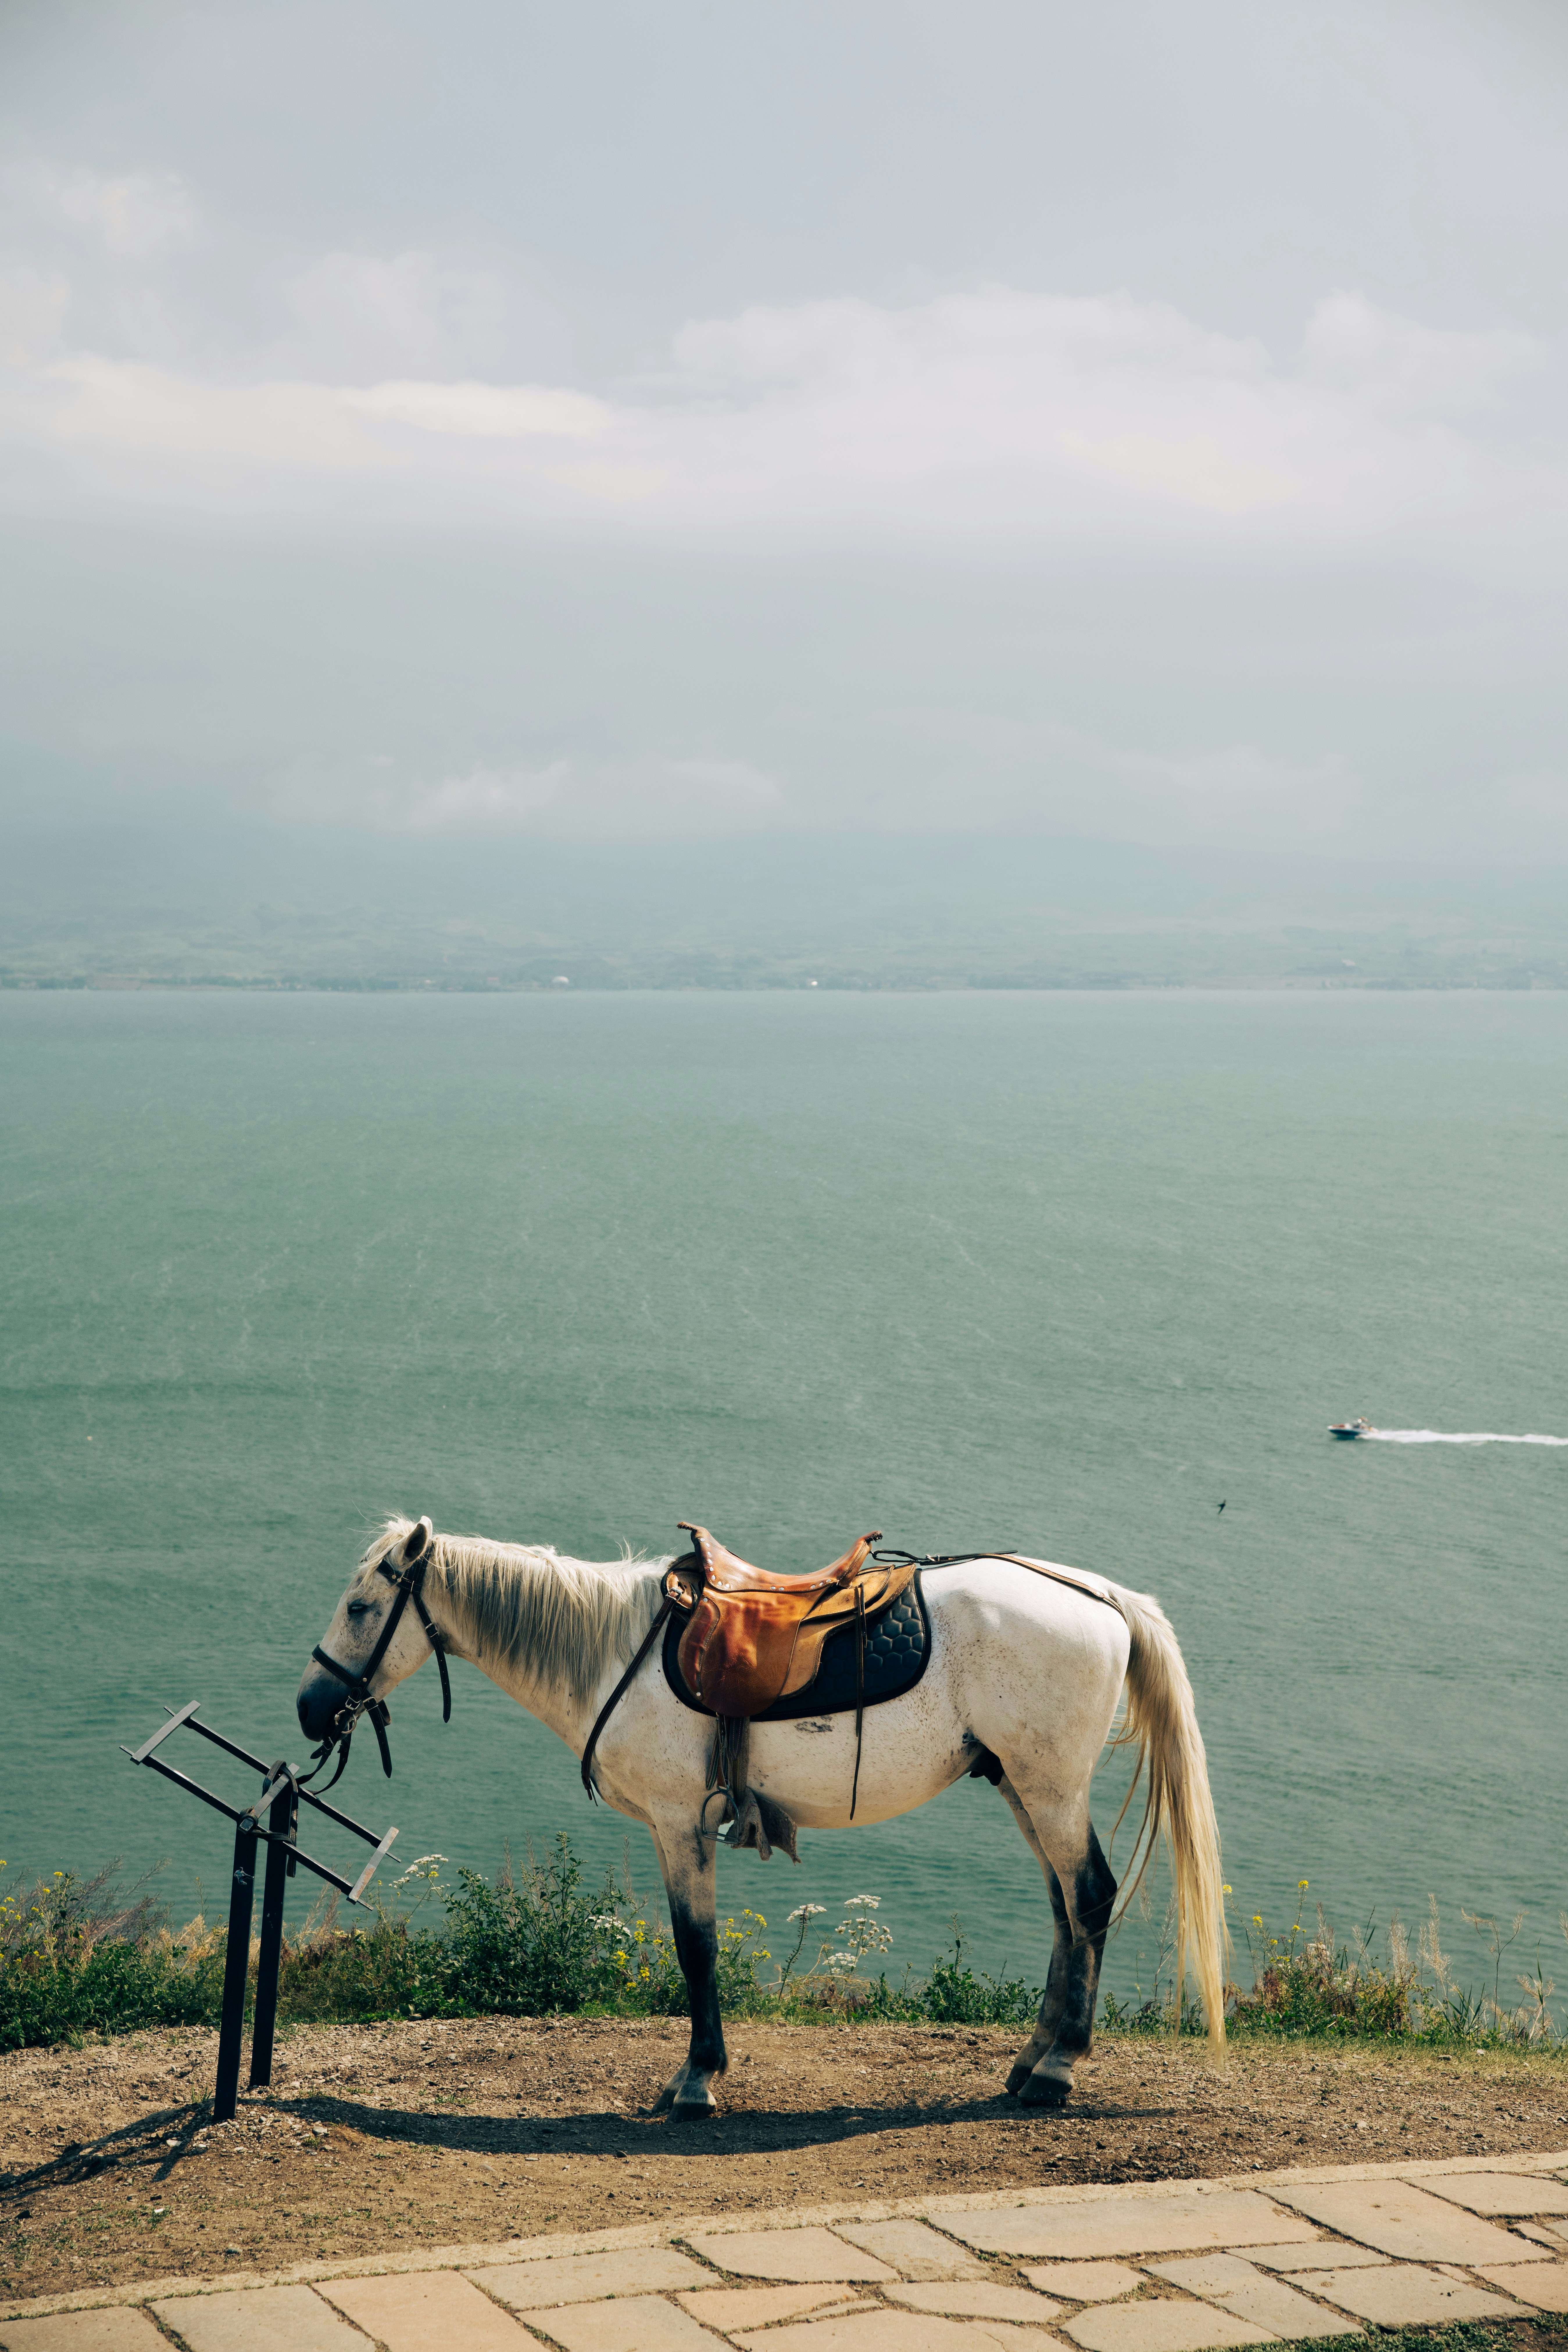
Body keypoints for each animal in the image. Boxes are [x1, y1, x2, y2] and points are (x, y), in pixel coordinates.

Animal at [296, 1515, 1226, 2119]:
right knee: (1065, 1909)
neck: (612, 1651)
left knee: (1089, 1896)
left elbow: (695, 1948)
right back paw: (1030, 2056)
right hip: (1021, 1785)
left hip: (1048, 1785)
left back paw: (1058, 2068)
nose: (310, 1711)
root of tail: (1099, 1595)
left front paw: (697, 2079)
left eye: (358, 1608)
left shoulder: (678, 1824)